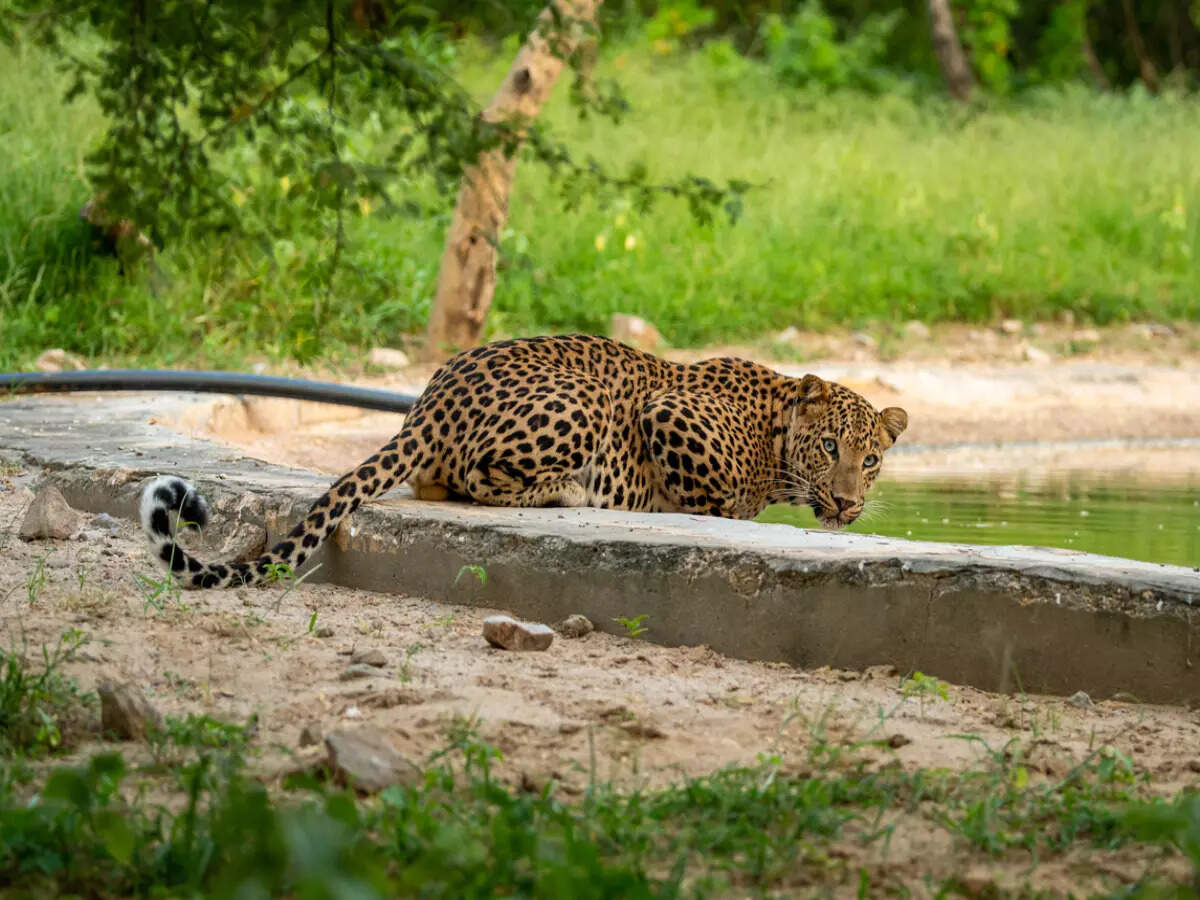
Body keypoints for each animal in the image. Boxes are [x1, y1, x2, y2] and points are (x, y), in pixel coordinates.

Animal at [140, 334, 908, 589]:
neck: (774, 429)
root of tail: (429, 401)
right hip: (587, 401)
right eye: (830, 448)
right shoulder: (667, 410)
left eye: (871, 459)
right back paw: (567, 491)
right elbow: (716, 501)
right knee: (482, 479)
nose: (848, 502)